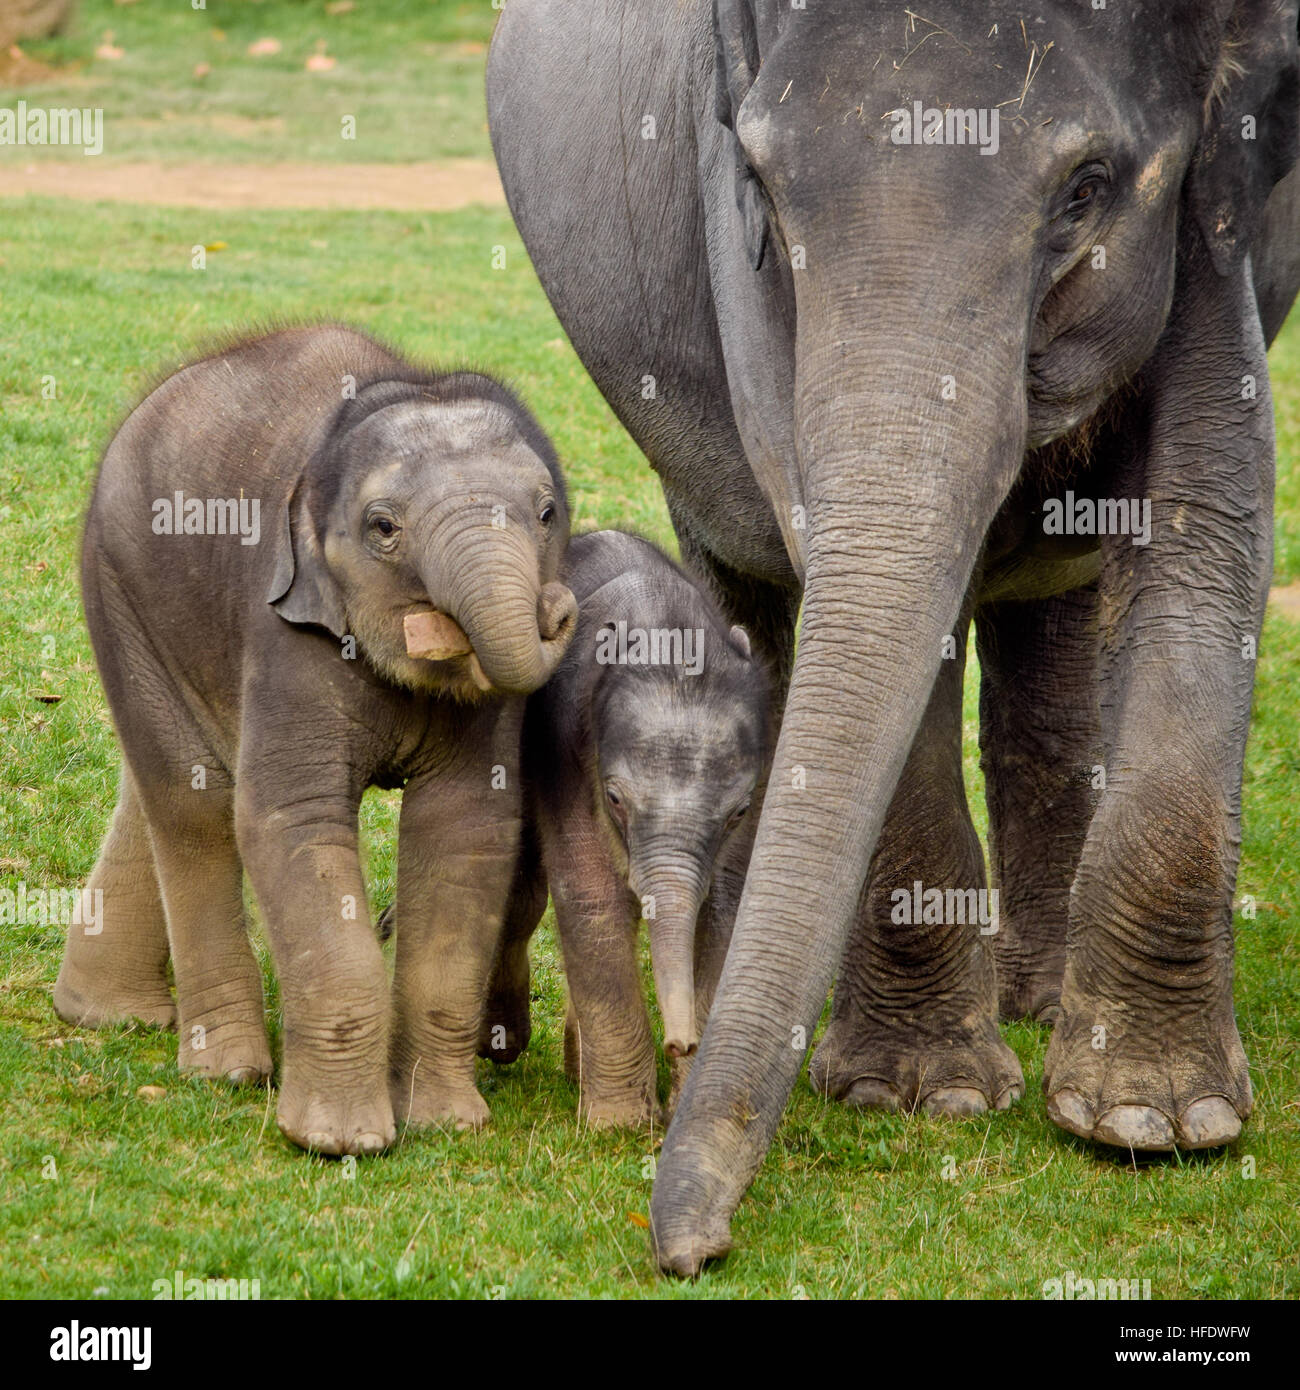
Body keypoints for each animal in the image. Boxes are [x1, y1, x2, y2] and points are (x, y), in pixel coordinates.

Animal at [54, 323, 577, 1155]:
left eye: (548, 511)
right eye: (383, 528)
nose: (557, 607)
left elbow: (465, 826)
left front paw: (447, 1124)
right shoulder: (286, 625)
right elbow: (292, 819)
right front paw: (342, 1141)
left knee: (168, 787)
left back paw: (108, 1015)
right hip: (117, 582)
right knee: (196, 806)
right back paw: (227, 1070)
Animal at [479, 529, 769, 1127]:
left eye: (738, 812)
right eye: (614, 799)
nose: (681, 1042)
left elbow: (724, 904)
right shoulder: (564, 741)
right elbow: (591, 894)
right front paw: (621, 1125)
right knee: (523, 886)